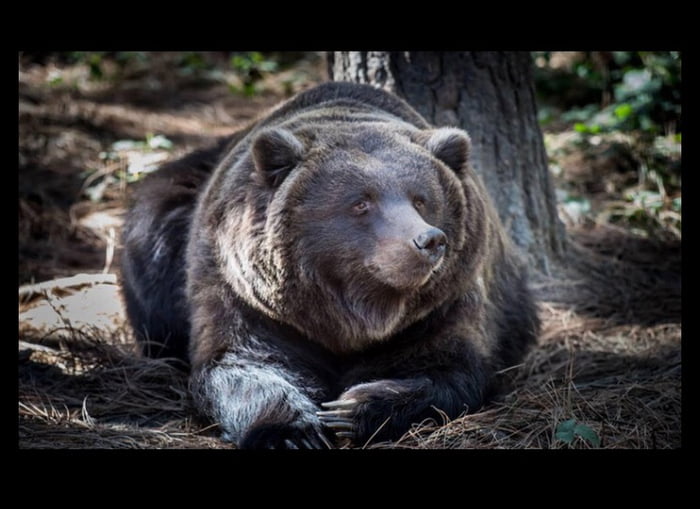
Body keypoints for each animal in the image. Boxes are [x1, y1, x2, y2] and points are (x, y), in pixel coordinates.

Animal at [120, 81, 539, 449]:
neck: (350, 314)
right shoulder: (246, 297)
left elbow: (450, 368)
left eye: (421, 199)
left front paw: (352, 408)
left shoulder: (441, 306)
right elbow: (241, 363)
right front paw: (294, 432)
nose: (428, 240)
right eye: (361, 203)